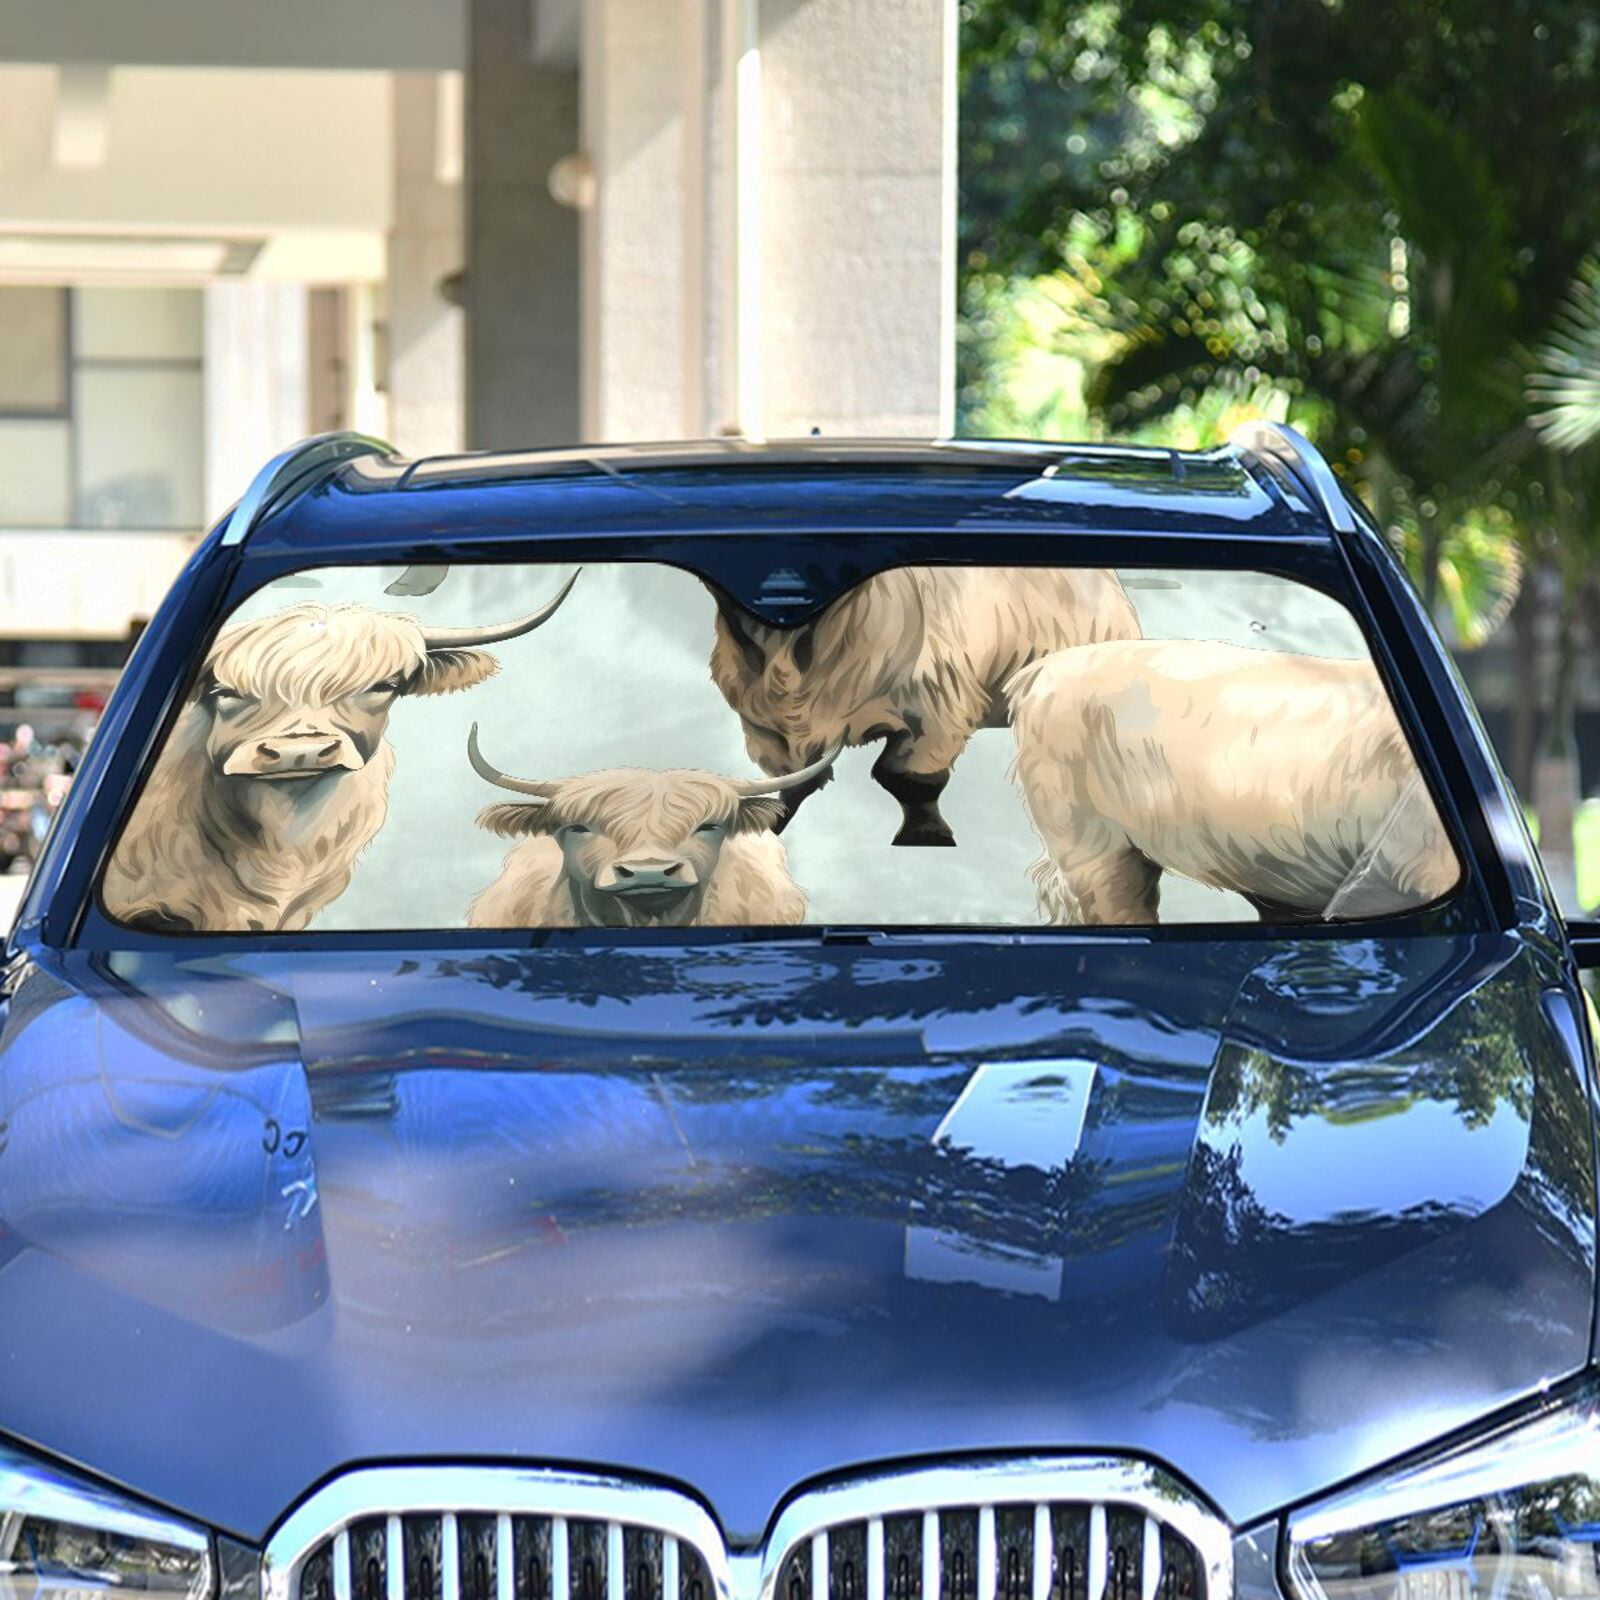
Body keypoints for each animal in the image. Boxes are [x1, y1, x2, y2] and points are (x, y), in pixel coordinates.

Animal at [707, 565, 1140, 847]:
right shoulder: (763, 723)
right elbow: (790, 777)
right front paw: (769, 824)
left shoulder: (936, 704)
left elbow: (908, 777)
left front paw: (926, 836)